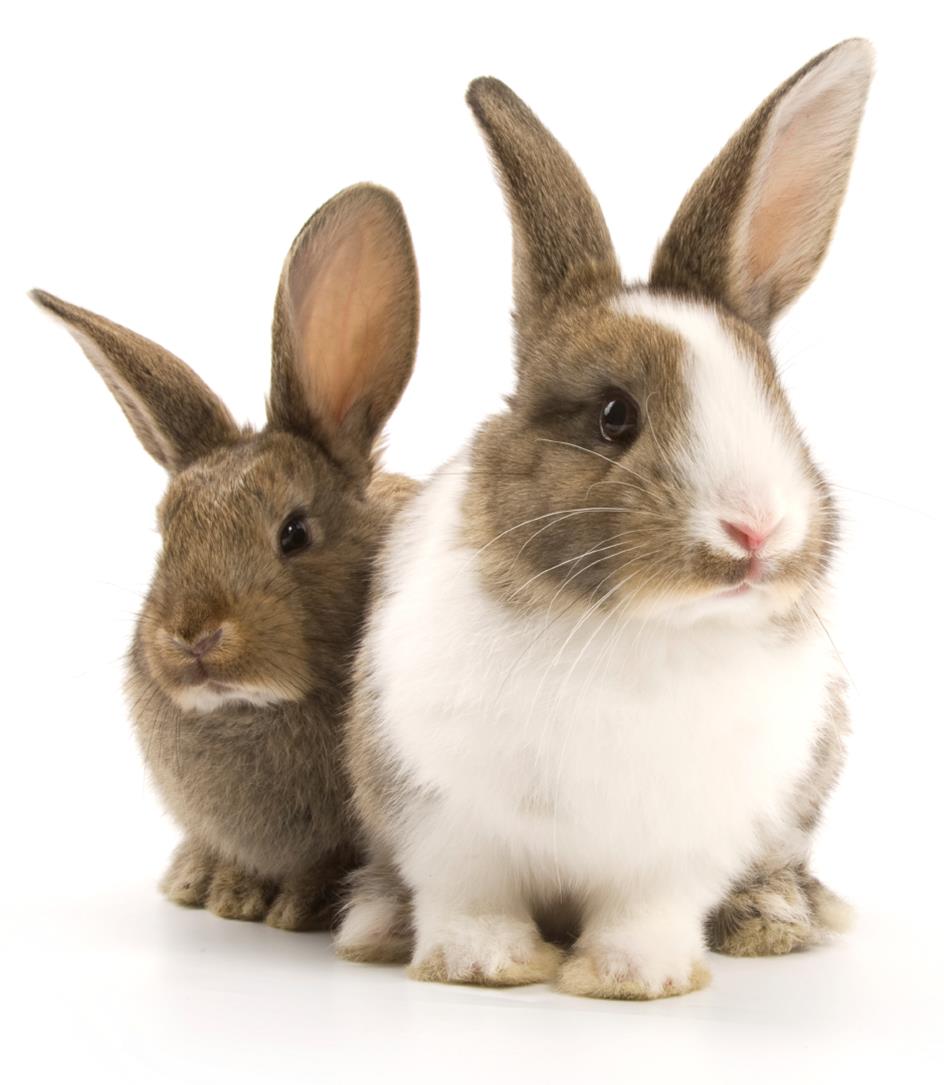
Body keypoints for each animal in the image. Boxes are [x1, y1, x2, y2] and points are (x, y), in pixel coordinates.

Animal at [335, 40, 872, 996]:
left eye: (778, 405)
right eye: (615, 415)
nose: (757, 531)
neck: (638, 628)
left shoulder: (679, 846)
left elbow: (647, 909)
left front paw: (636, 976)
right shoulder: (442, 819)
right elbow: (469, 897)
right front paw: (483, 963)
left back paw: (771, 917)